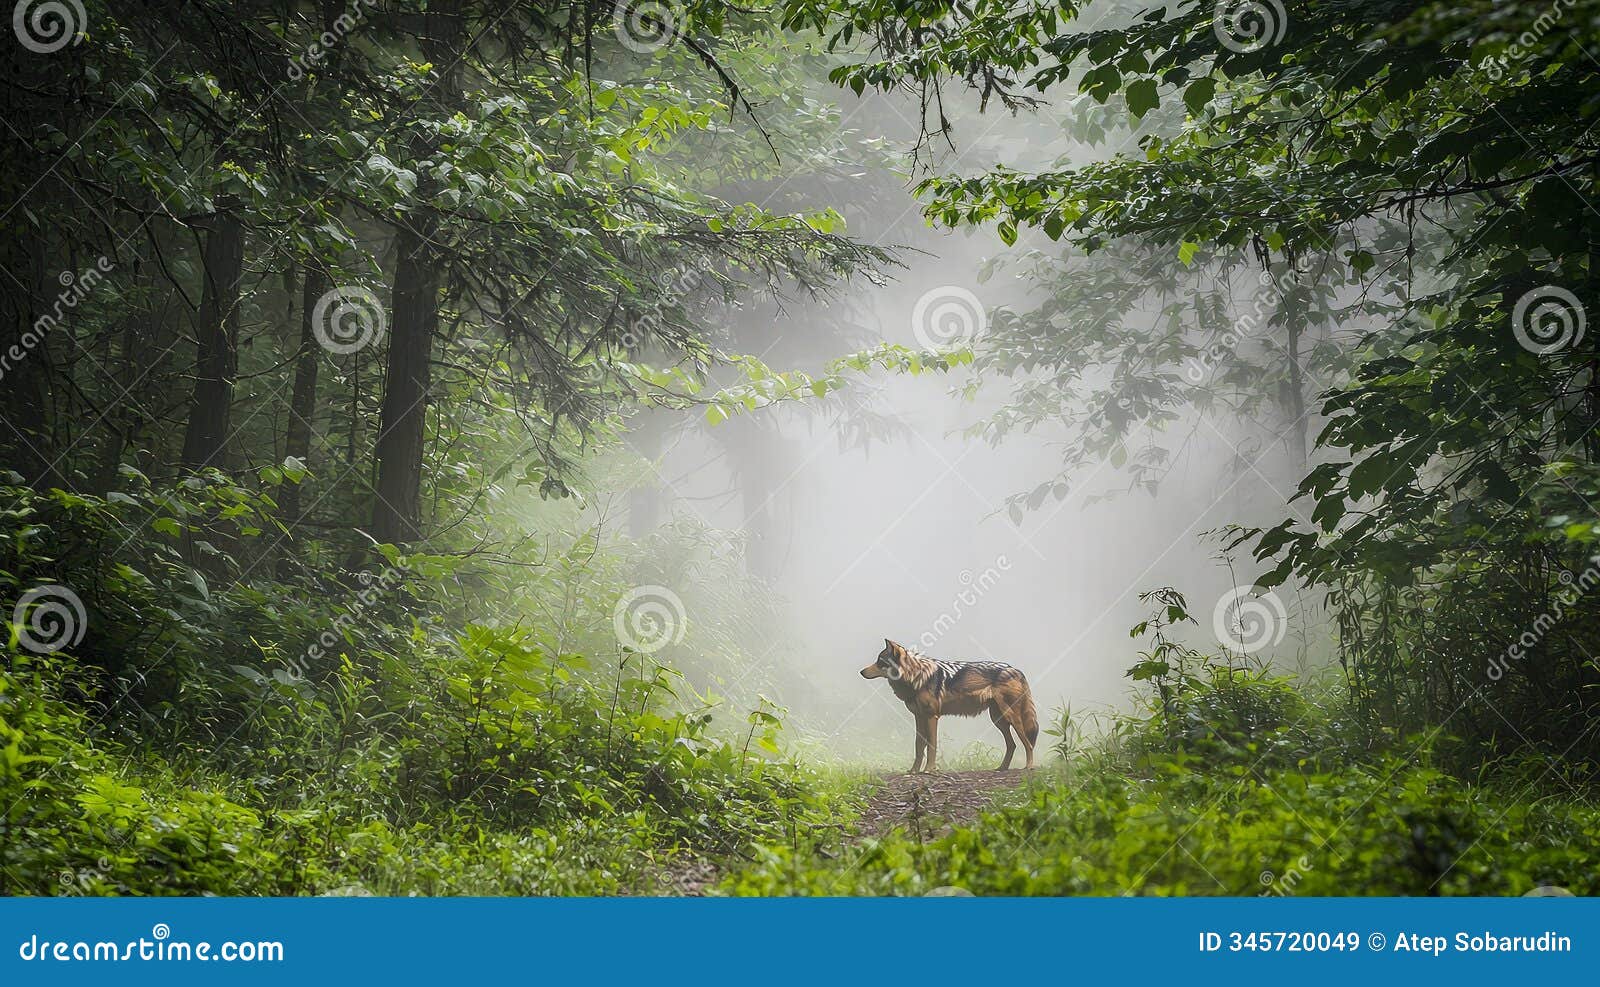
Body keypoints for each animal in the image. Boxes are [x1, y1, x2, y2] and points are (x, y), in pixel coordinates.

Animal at [860, 639, 1038, 773]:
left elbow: (931, 746)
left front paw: (929, 770)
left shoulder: (932, 717)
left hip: (1011, 717)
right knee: (1012, 745)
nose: (861, 672)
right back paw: (1001, 768)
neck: (916, 677)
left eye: (880, 662)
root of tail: (1016, 670)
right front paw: (914, 771)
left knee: (1028, 743)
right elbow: (919, 747)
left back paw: (1028, 767)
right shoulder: (919, 717)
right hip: (998, 720)